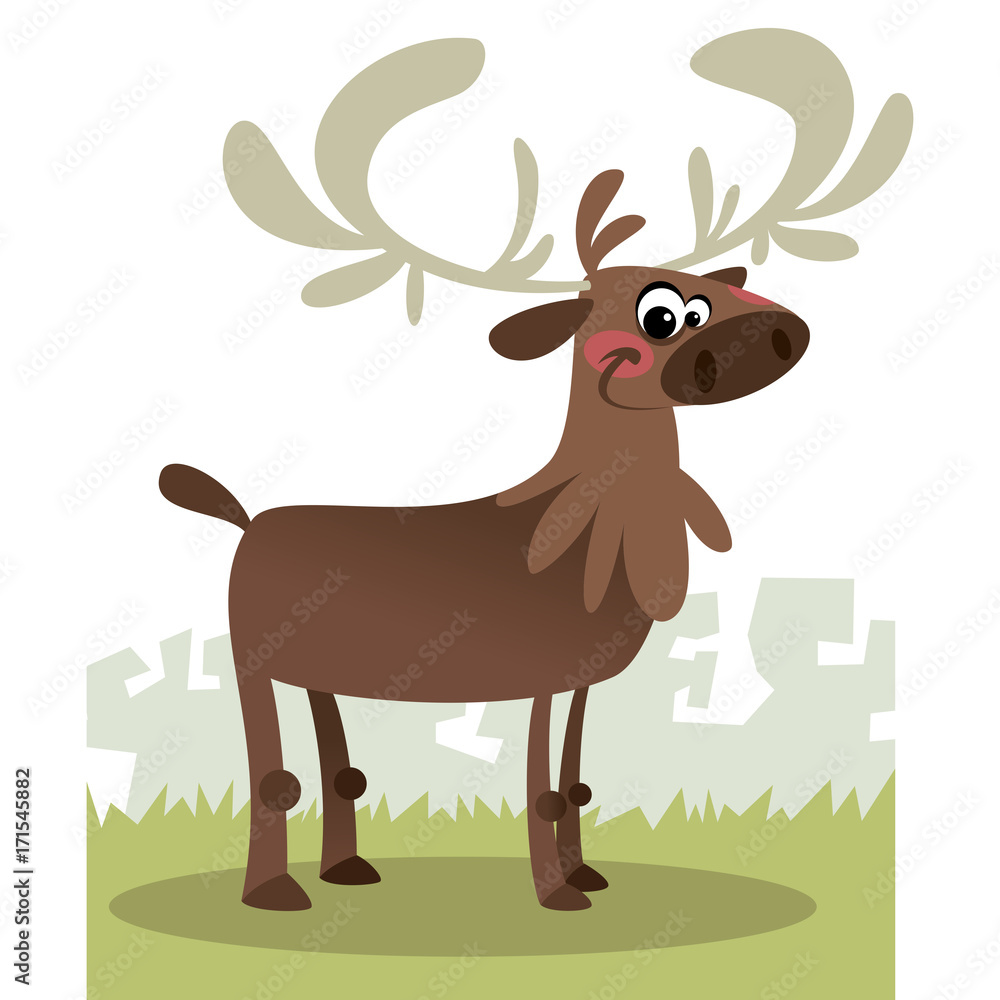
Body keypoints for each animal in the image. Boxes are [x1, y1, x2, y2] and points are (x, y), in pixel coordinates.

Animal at [159, 31, 911, 911]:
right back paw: (274, 892)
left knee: (335, 760)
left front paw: (586, 874)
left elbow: (574, 780)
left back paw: (345, 869)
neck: (585, 526)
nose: (786, 334)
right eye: (663, 314)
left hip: (317, 667)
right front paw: (557, 896)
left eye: (709, 291)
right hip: (254, 663)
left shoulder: (583, 675)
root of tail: (248, 520)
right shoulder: (543, 672)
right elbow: (542, 785)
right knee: (270, 771)